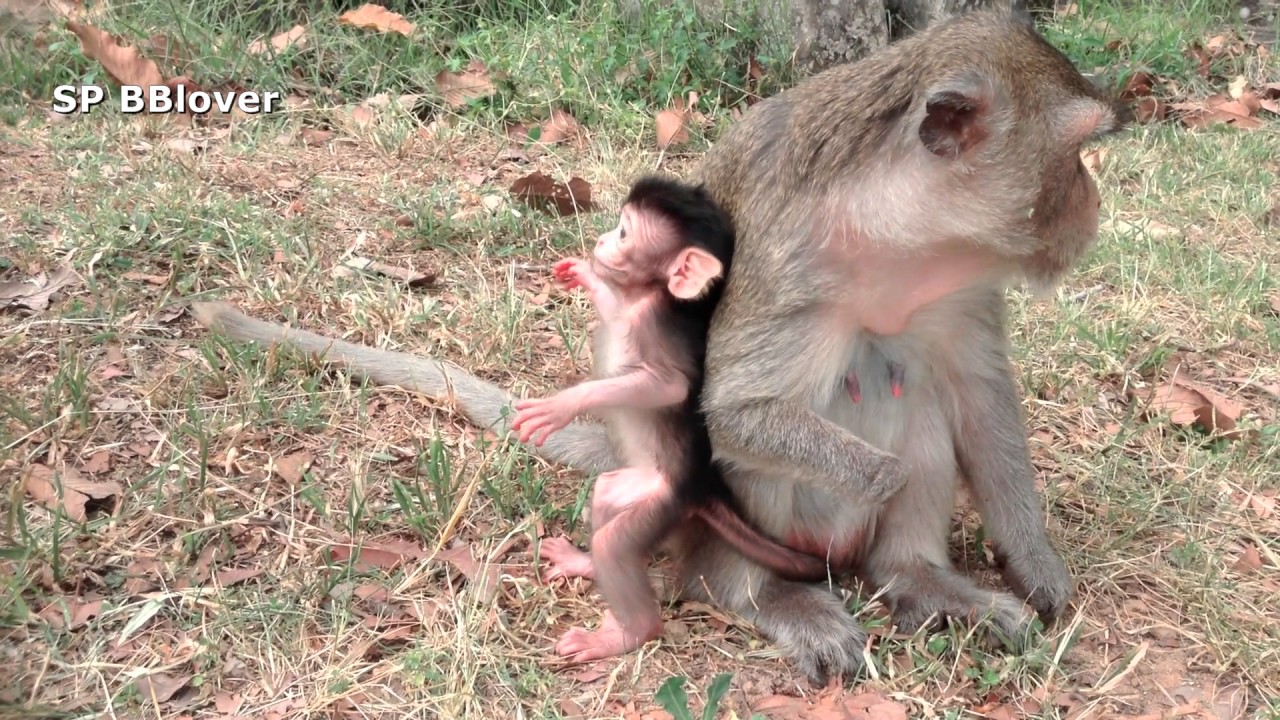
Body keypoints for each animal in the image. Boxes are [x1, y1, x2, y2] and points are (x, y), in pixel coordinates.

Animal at [509, 175, 844, 661]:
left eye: (625, 233)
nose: (603, 240)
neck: (648, 297)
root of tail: (697, 486)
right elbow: (612, 308)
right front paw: (586, 275)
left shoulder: (654, 325)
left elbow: (668, 387)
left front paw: (563, 405)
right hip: (639, 486)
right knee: (606, 496)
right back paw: (585, 563)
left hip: (661, 505)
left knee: (617, 545)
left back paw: (631, 632)